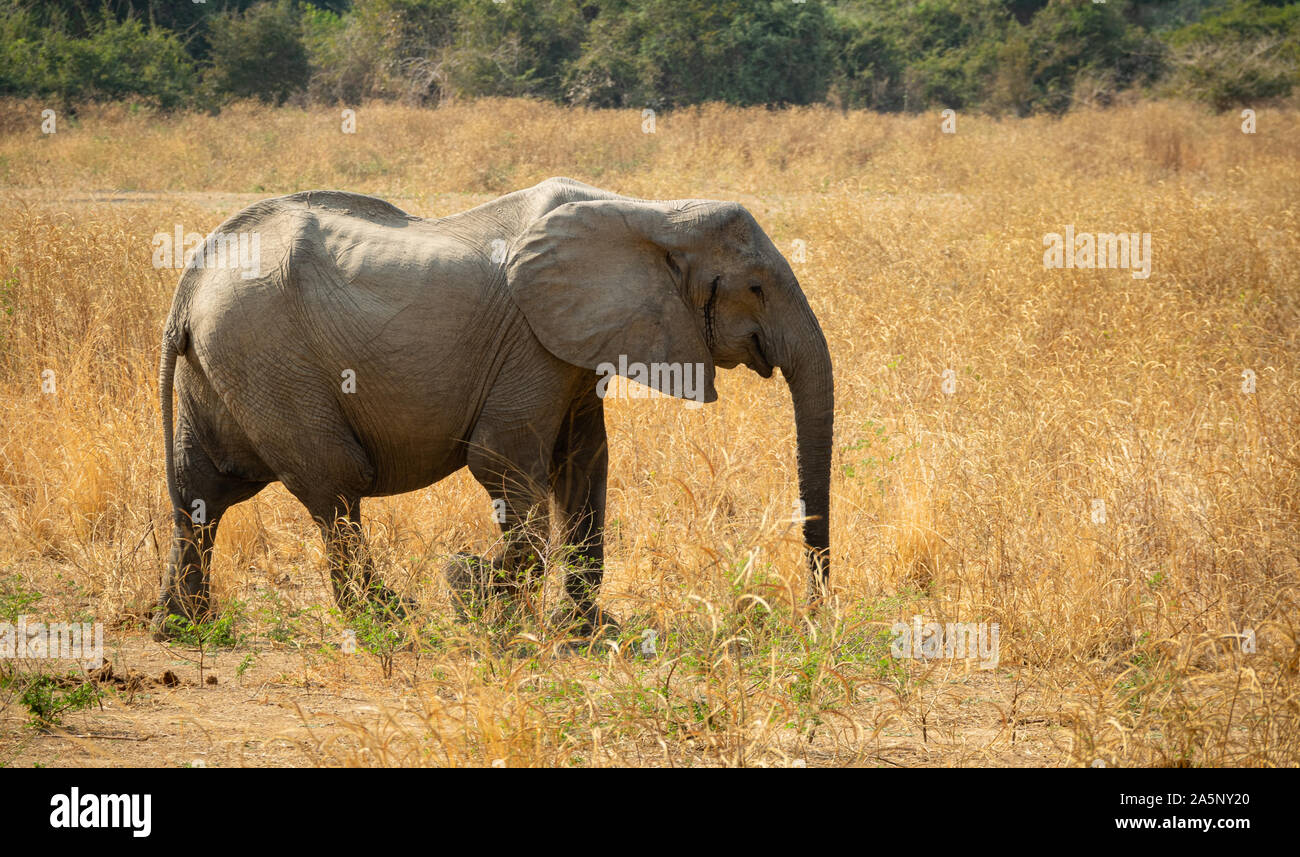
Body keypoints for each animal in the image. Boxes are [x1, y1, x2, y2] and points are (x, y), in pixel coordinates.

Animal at [154, 177, 833, 635]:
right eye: (756, 287)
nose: (814, 614)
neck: (649, 212)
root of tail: (191, 282)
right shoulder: (530, 343)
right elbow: (501, 460)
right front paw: (467, 587)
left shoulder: (572, 343)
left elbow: (584, 466)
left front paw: (586, 631)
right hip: (268, 357)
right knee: (335, 487)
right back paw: (387, 618)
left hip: (222, 366)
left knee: (202, 490)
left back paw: (181, 624)